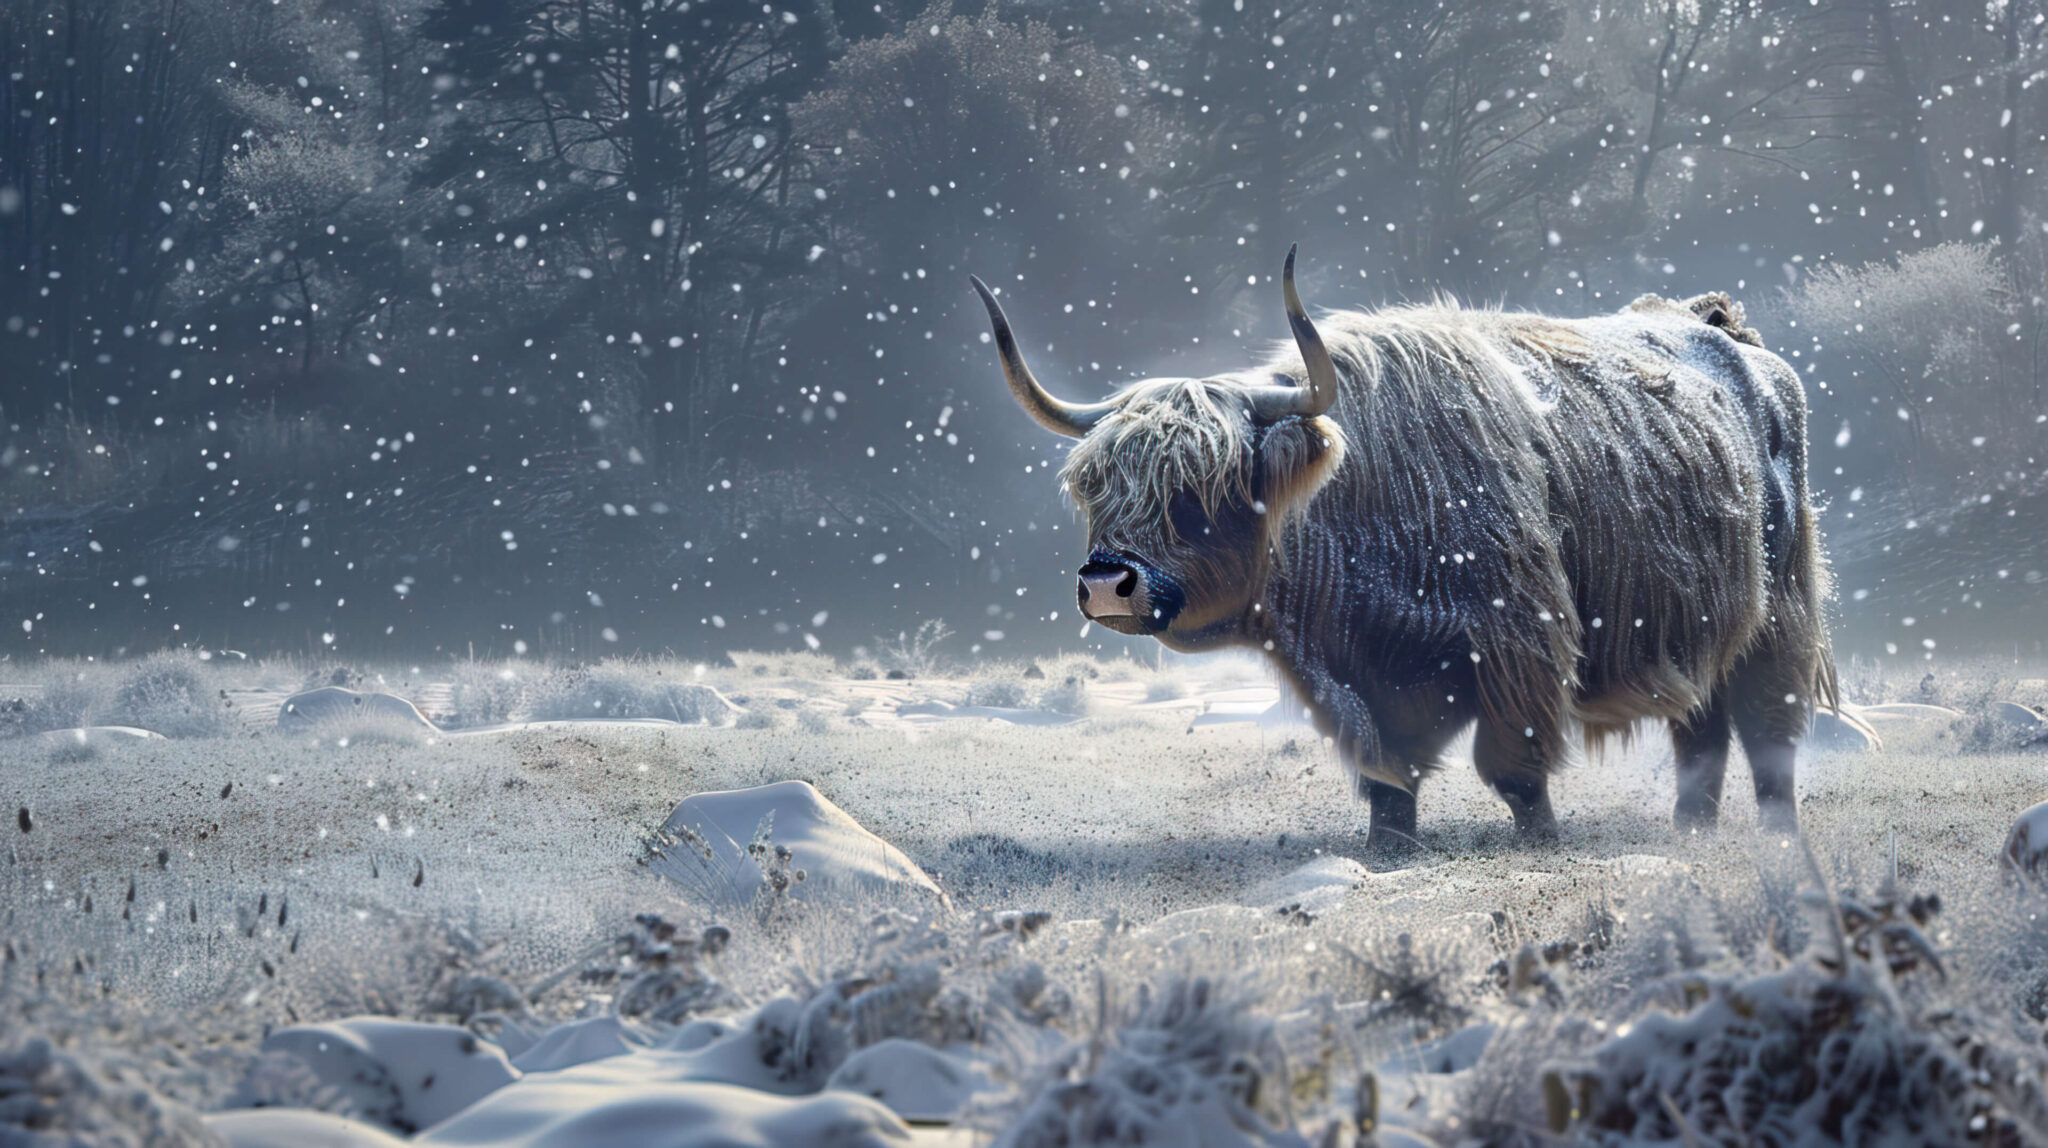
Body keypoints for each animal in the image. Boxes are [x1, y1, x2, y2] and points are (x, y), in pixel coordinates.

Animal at [970, 247, 1835, 852]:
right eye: (1095, 486)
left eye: (1199, 486)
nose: (1105, 583)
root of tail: (1726, 334)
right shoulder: (1361, 678)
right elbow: (1388, 778)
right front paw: (1389, 846)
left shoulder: (1518, 638)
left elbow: (1512, 769)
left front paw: (1544, 840)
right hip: (1700, 625)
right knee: (1702, 732)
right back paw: (1693, 830)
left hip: (1781, 610)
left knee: (1768, 732)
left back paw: (1777, 838)